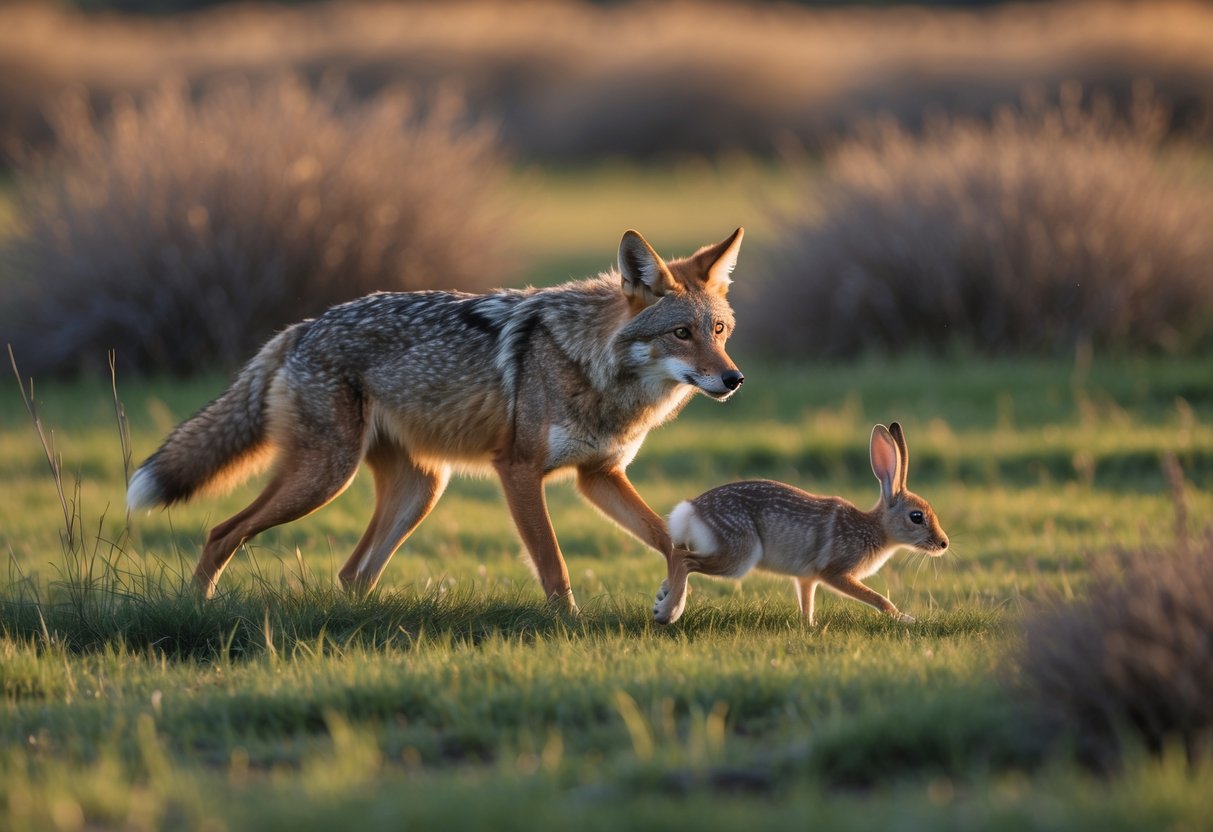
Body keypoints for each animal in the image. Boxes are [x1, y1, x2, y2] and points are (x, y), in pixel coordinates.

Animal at [655, 422, 948, 626]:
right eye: (916, 517)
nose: (943, 543)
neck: (875, 529)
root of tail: (692, 510)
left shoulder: (807, 578)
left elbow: (807, 603)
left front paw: (810, 626)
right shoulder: (835, 572)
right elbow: (879, 599)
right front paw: (905, 619)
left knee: (677, 556)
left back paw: (662, 598)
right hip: (739, 555)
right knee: (684, 559)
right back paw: (668, 613)